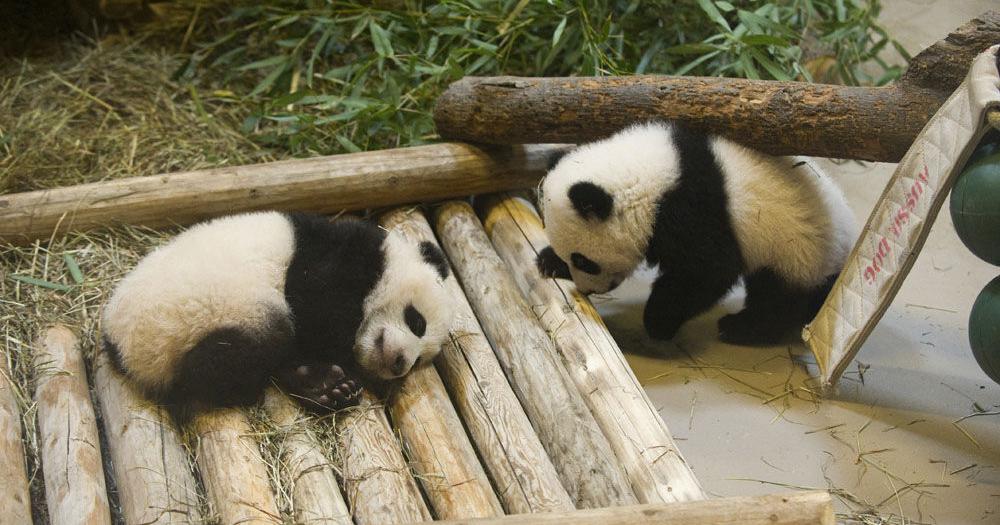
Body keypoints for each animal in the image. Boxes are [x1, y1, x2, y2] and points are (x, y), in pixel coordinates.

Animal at [101, 211, 455, 414]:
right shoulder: (337, 257)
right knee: (232, 356)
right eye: (417, 321)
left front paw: (333, 386)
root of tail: (120, 348)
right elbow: (317, 310)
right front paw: (332, 369)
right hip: (208, 313)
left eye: (419, 362)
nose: (400, 364)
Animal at [535, 121, 856, 345]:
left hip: (798, 250)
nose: (587, 290)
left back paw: (740, 328)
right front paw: (549, 261)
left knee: (777, 298)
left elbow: (709, 271)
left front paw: (658, 321)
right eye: (573, 258)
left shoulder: (693, 209)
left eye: (584, 260)